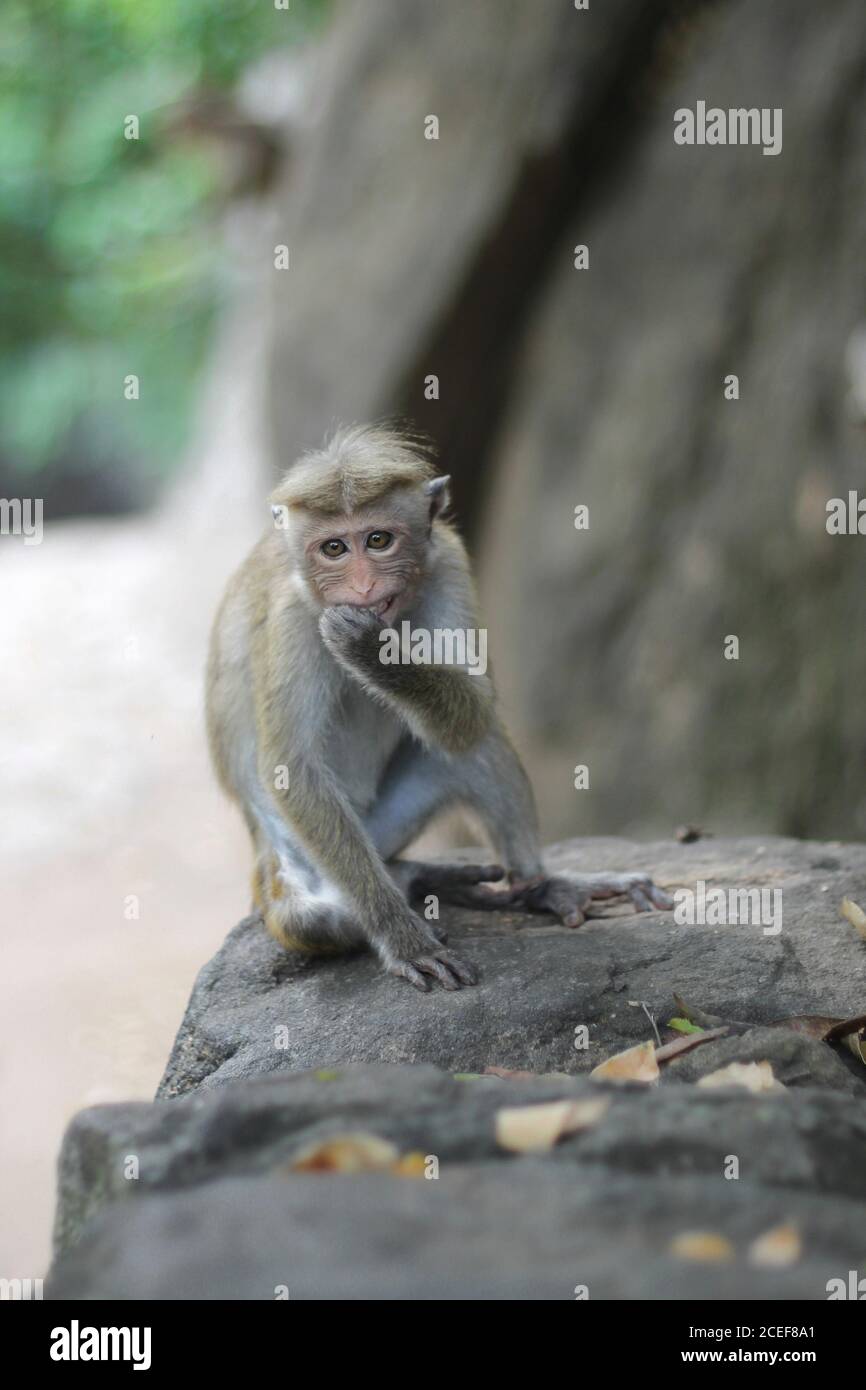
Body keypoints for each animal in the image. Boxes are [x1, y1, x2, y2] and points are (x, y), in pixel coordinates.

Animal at [206, 424, 672, 991]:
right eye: (333, 548)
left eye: (378, 540)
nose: (364, 587)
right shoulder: (293, 613)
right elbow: (292, 766)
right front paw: (404, 940)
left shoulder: (446, 561)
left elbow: (474, 709)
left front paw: (376, 653)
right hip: (296, 862)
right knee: (309, 918)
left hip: (384, 828)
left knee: (480, 743)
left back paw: (531, 886)